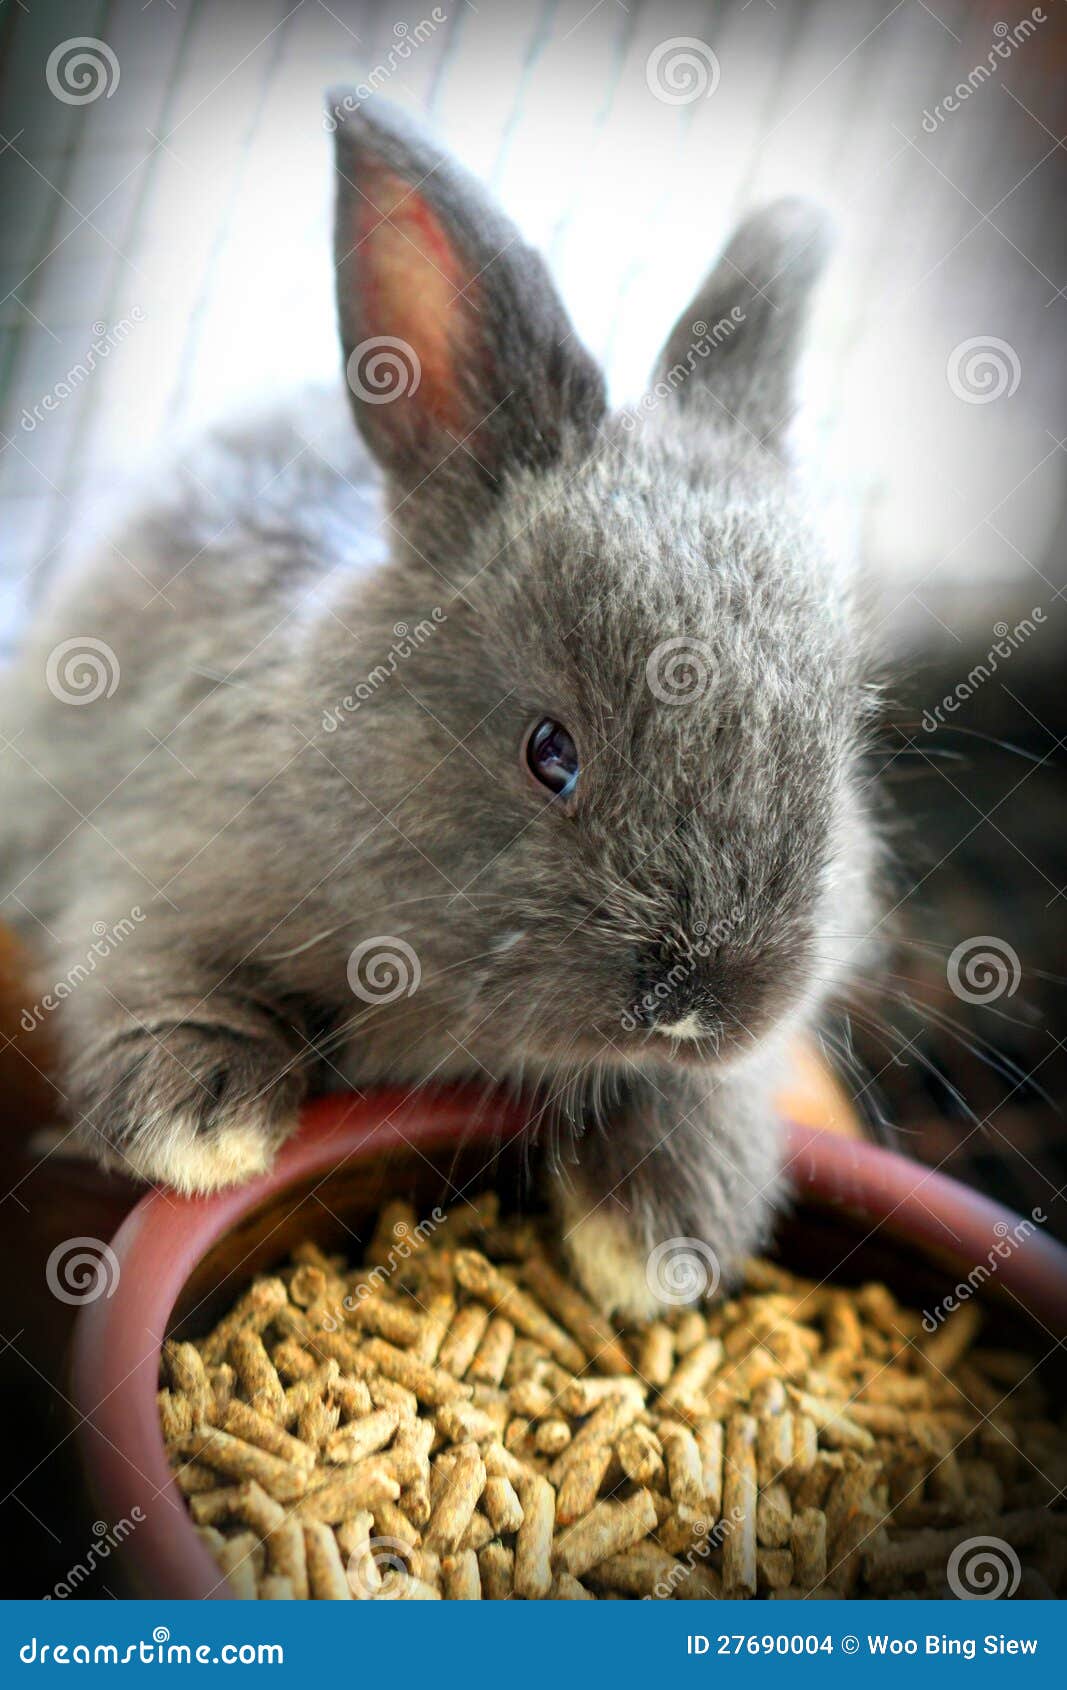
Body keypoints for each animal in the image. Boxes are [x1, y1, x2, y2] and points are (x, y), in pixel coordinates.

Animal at [0, 98, 881, 1319]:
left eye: (834, 753)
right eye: (548, 753)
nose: (704, 1001)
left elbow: (695, 1110)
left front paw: (652, 1246)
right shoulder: (151, 876)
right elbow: (165, 988)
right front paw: (206, 1133)